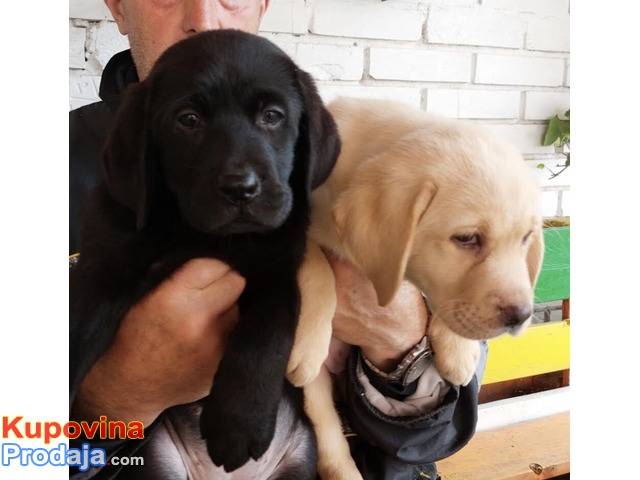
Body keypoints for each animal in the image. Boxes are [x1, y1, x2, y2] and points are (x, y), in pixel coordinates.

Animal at [69, 31, 340, 476]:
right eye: (189, 120)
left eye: (272, 116)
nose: (241, 188)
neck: (207, 237)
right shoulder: (106, 266)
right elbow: (76, 332)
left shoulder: (277, 272)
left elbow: (266, 334)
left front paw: (238, 425)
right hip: (158, 459)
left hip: (300, 458)